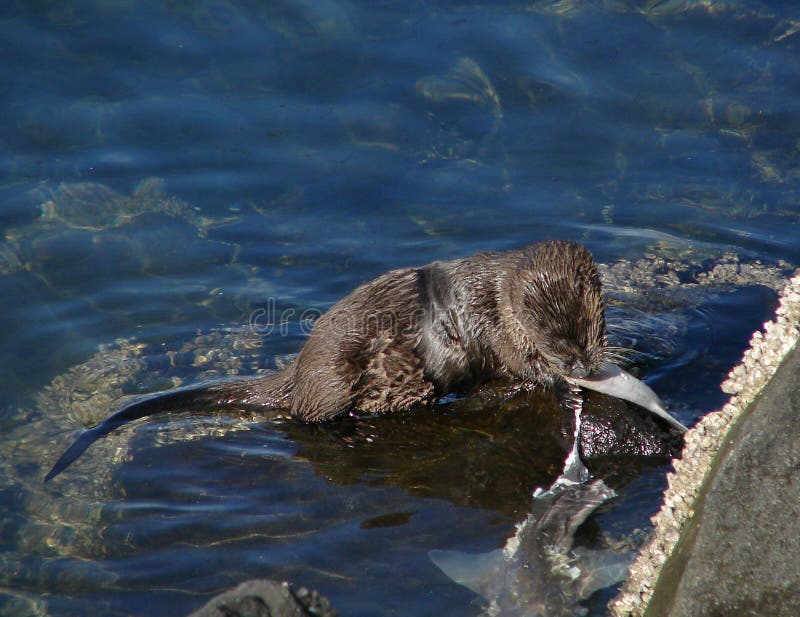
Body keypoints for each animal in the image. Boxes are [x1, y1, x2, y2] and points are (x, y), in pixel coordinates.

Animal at [45, 240, 686, 481]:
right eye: (559, 337)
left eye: (593, 328)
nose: (586, 363)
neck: (496, 299)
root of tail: (298, 369)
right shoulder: (488, 328)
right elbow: (511, 365)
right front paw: (555, 380)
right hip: (335, 376)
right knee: (311, 415)